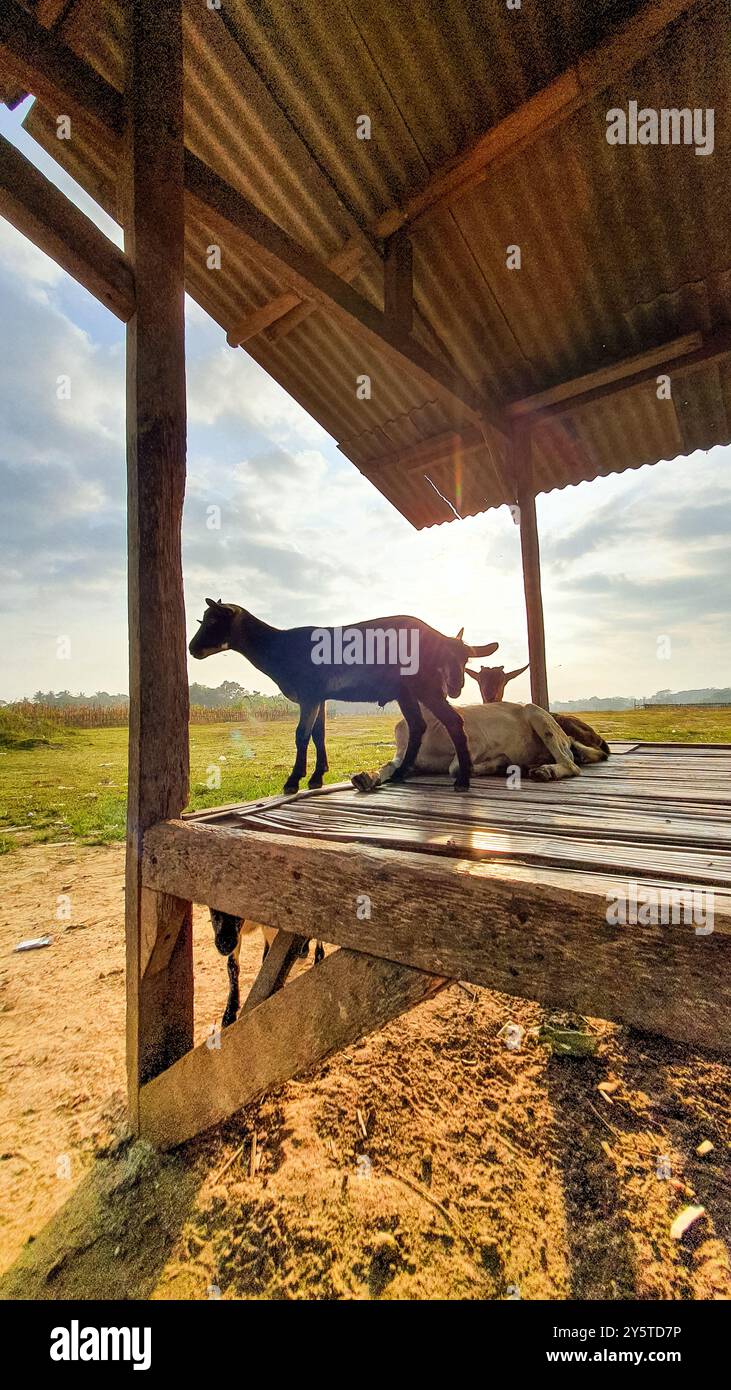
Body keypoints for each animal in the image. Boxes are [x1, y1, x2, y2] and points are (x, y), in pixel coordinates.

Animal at [189, 600, 498, 792]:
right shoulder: (320, 696)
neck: (277, 647)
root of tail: (440, 637)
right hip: (406, 691)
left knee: (452, 721)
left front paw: (293, 781)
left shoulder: (309, 692)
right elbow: (319, 734)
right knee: (418, 725)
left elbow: (301, 735)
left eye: (214, 620)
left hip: (426, 686)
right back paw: (399, 774)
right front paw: (317, 776)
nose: (192, 649)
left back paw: (463, 780)